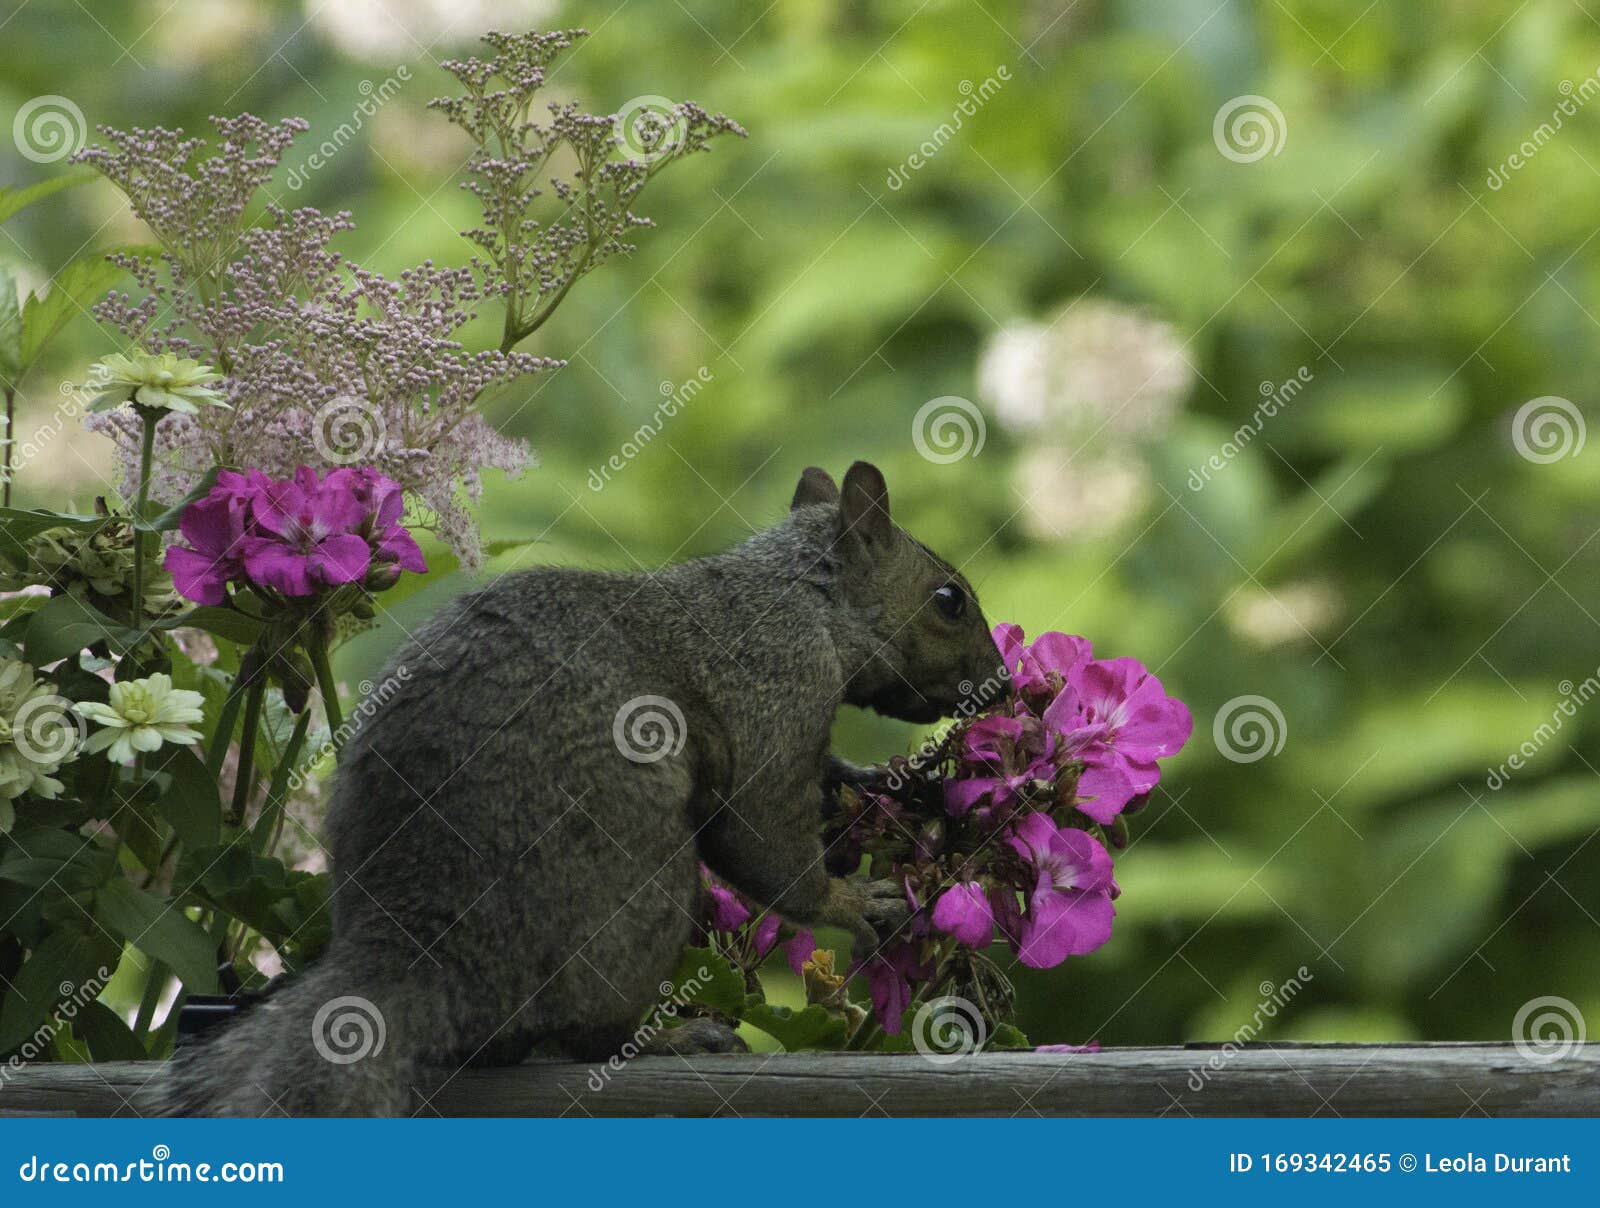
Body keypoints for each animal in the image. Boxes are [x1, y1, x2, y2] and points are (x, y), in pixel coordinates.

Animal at [160, 461, 1007, 1115]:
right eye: (949, 599)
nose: (998, 682)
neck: (801, 598)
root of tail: (420, 949)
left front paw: (865, 777)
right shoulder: (778, 692)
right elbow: (762, 838)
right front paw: (854, 902)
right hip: (642, 897)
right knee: (586, 1035)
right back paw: (670, 1037)